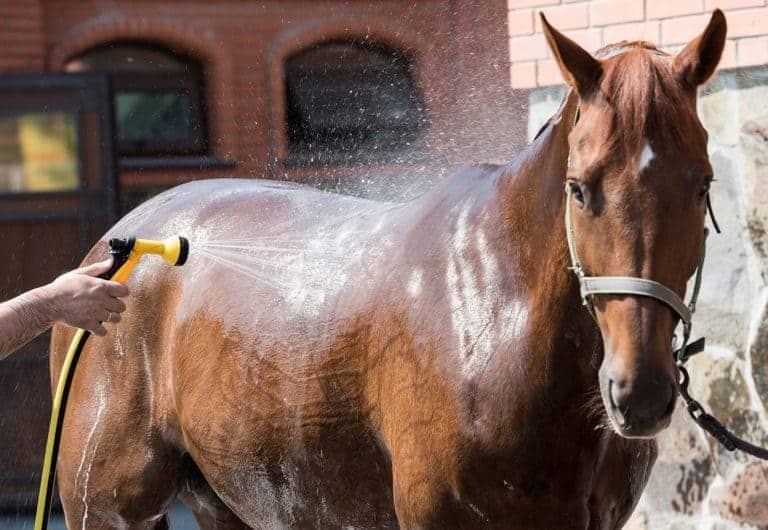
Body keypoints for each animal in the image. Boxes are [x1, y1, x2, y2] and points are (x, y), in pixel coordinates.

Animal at [50, 11, 727, 529]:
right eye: (579, 189)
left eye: (702, 185)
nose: (639, 392)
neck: (496, 320)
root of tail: (119, 247)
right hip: (103, 507)